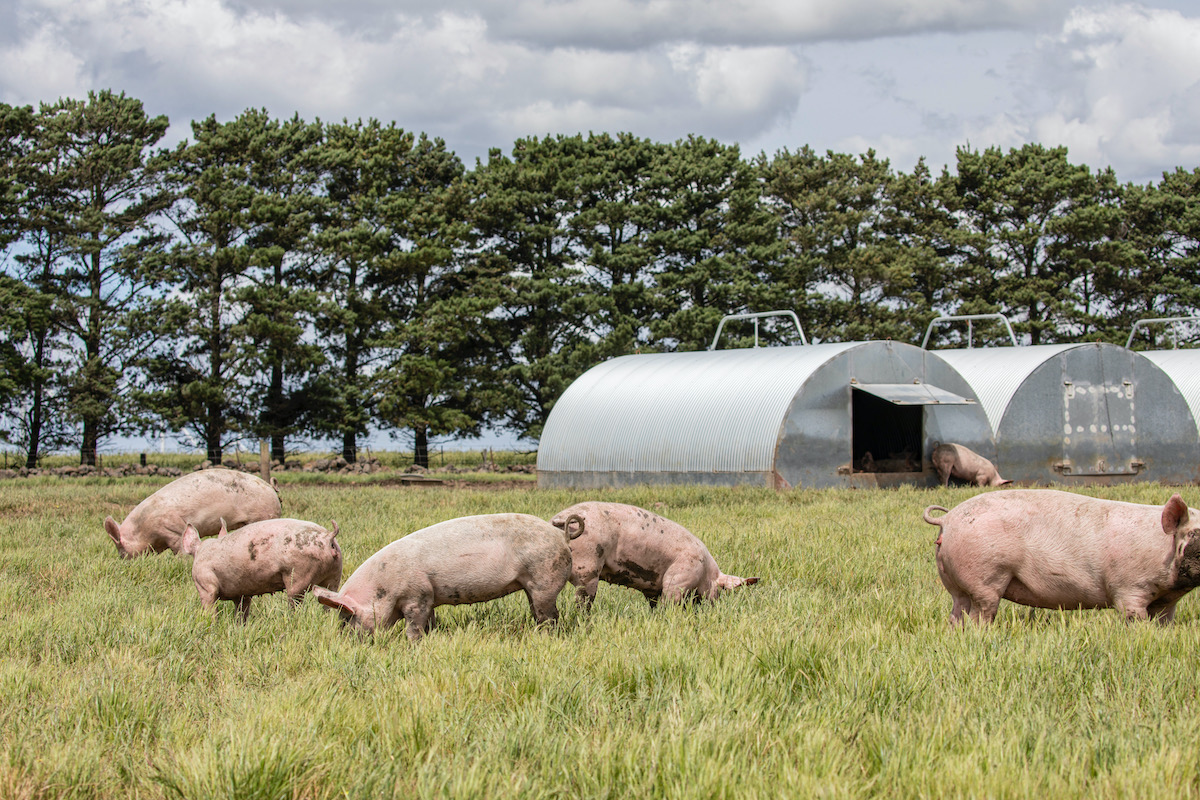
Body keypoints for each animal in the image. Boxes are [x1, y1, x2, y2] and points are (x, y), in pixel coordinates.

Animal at [104, 468, 282, 558]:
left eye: (122, 552)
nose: (123, 561)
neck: (144, 529)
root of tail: (270, 487)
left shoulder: (173, 530)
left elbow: (179, 550)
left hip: (263, 515)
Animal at [180, 517, 342, 621]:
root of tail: (327, 536)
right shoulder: (242, 593)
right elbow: (242, 609)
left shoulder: (205, 583)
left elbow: (210, 605)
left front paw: (211, 623)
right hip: (335, 574)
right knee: (328, 600)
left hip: (298, 574)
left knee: (295, 602)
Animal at [311, 513, 578, 640]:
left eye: (347, 617)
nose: (345, 642)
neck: (383, 588)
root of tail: (561, 536)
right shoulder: (428, 597)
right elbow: (429, 622)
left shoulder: (416, 595)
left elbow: (414, 626)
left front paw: (412, 644)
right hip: (531, 585)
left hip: (544, 578)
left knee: (550, 615)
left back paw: (546, 635)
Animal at [549, 501, 758, 609]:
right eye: (721, 590)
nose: (713, 608)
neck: (706, 571)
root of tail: (556, 521)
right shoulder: (680, 576)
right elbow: (670, 600)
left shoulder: (652, 589)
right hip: (588, 564)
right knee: (583, 601)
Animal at [924, 489, 1200, 625]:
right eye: (1192, 534)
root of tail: (947, 519)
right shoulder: (1129, 589)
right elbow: (1134, 618)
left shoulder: (1165, 602)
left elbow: (1164, 623)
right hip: (986, 576)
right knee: (980, 614)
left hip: (955, 583)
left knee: (956, 614)